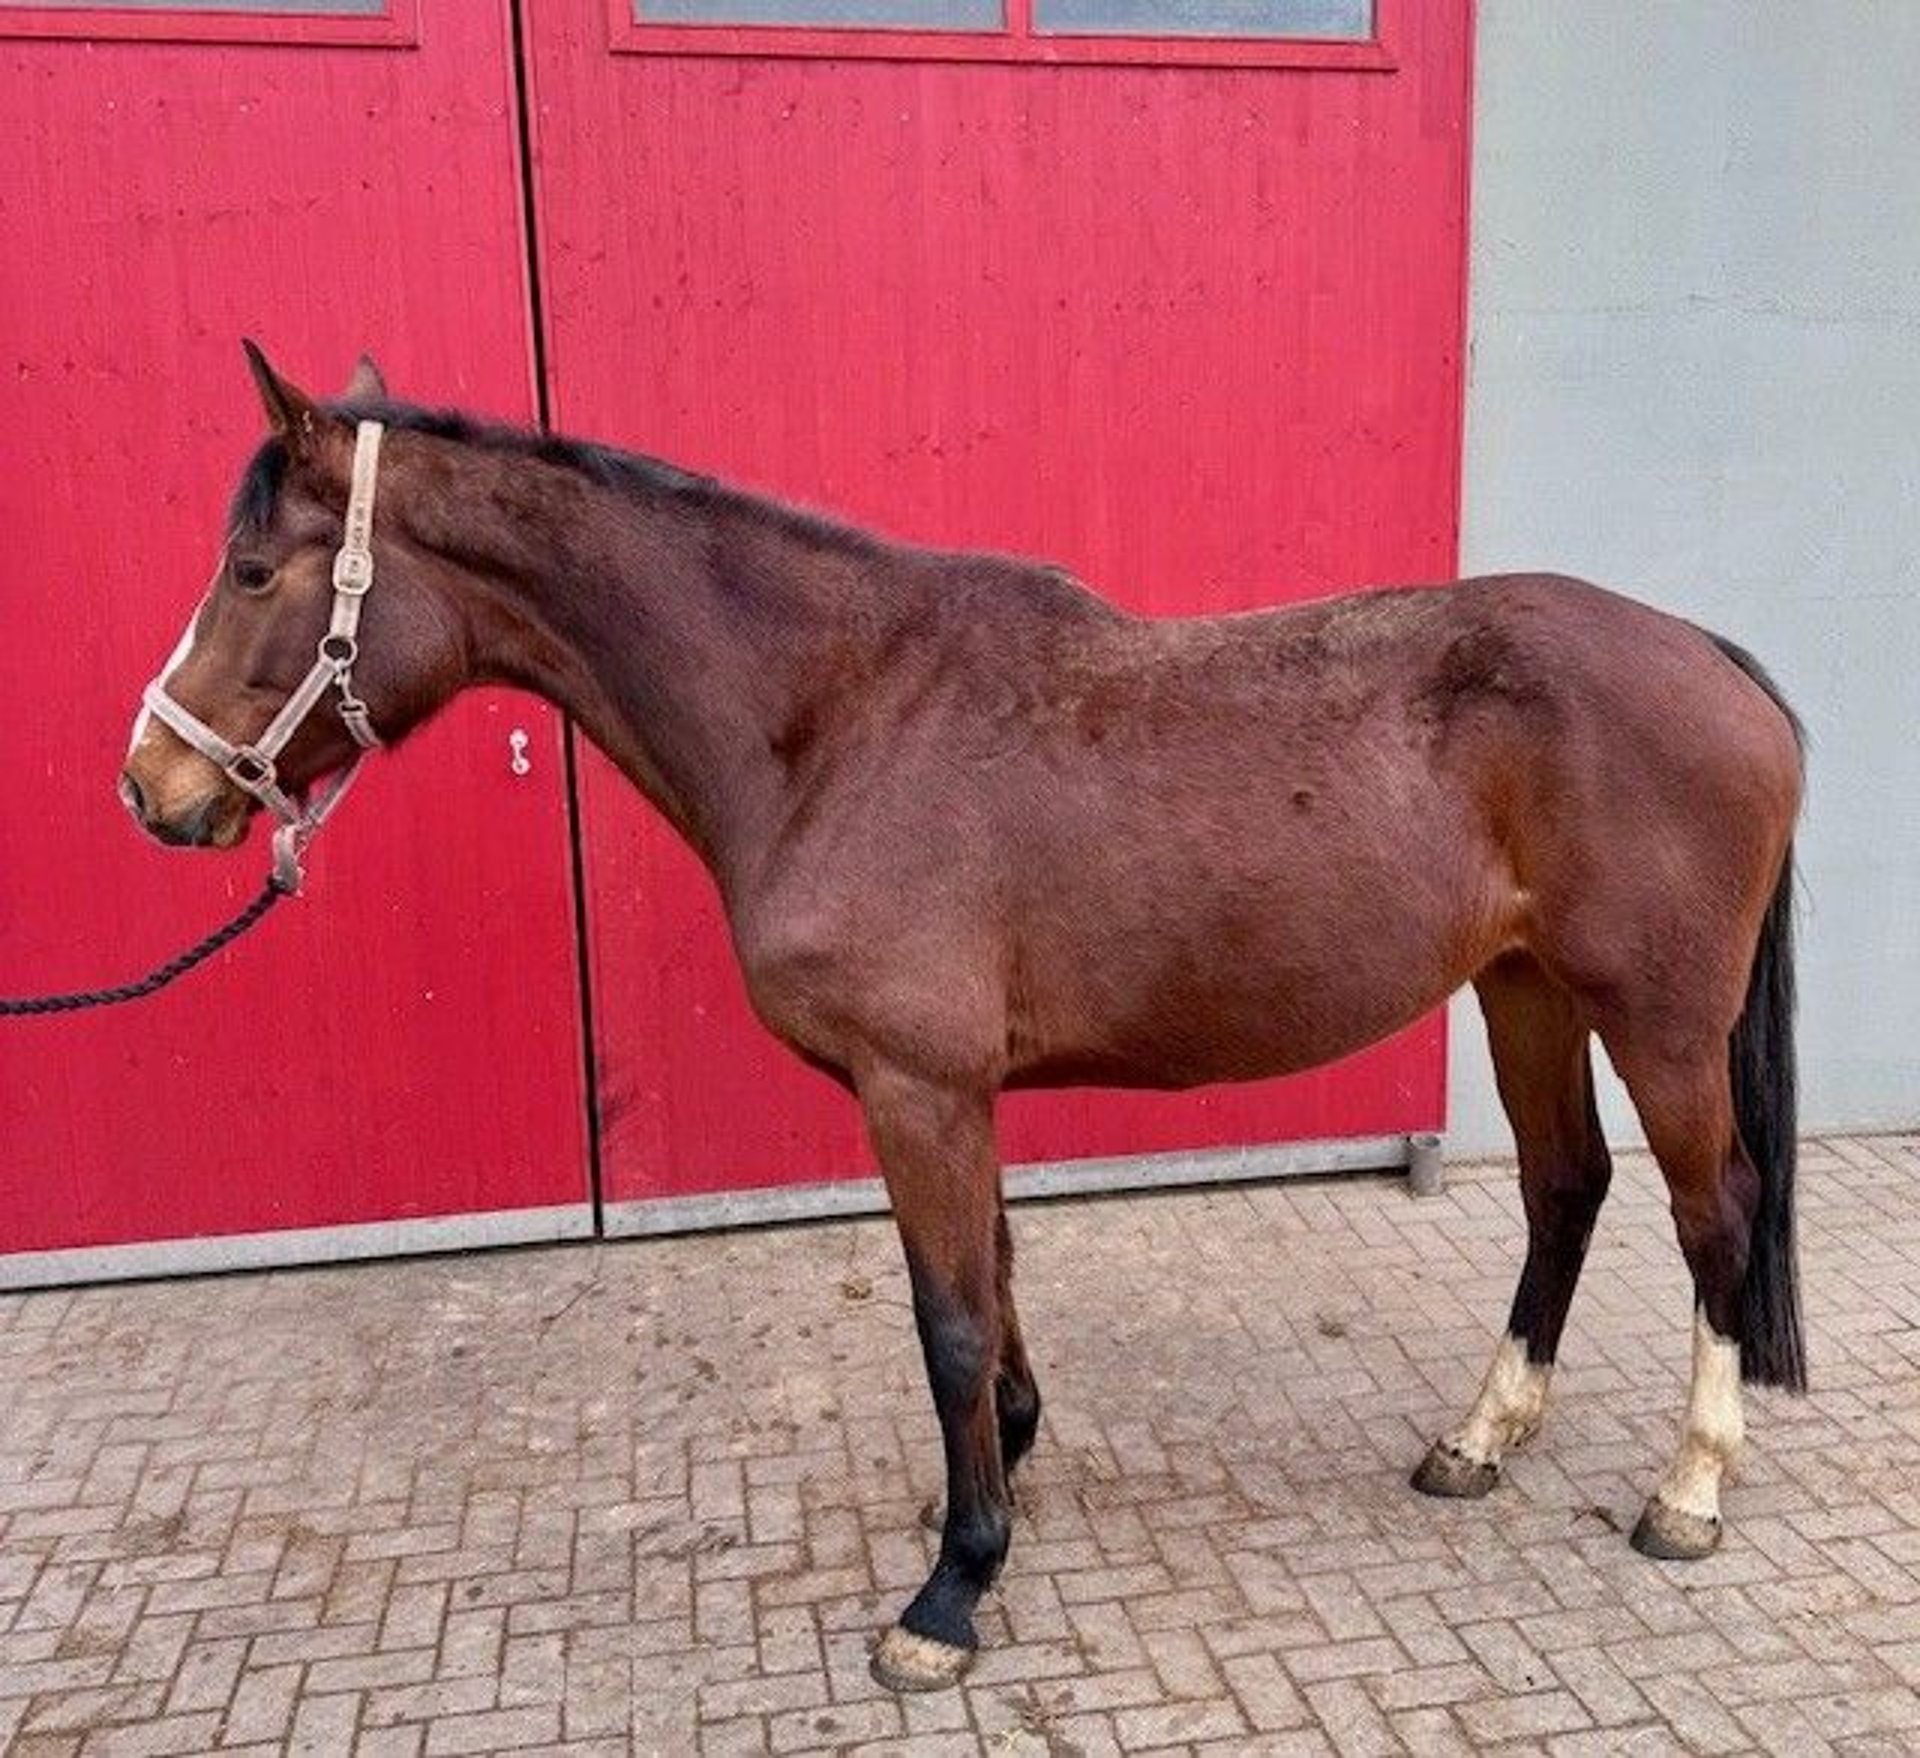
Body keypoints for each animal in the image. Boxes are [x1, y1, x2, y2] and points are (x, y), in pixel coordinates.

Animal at [122, 345, 1806, 1692]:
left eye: (256, 574)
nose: (155, 785)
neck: (837, 715)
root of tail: (1710, 654)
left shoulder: (916, 1087)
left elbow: (944, 1318)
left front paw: (950, 1590)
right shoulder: (956, 1093)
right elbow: (990, 1286)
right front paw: (998, 1476)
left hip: (1656, 1016)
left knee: (1713, 1208)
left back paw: (1691, 1489)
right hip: (1525, 991)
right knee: (1564, 1187)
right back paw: (1481, 1437)